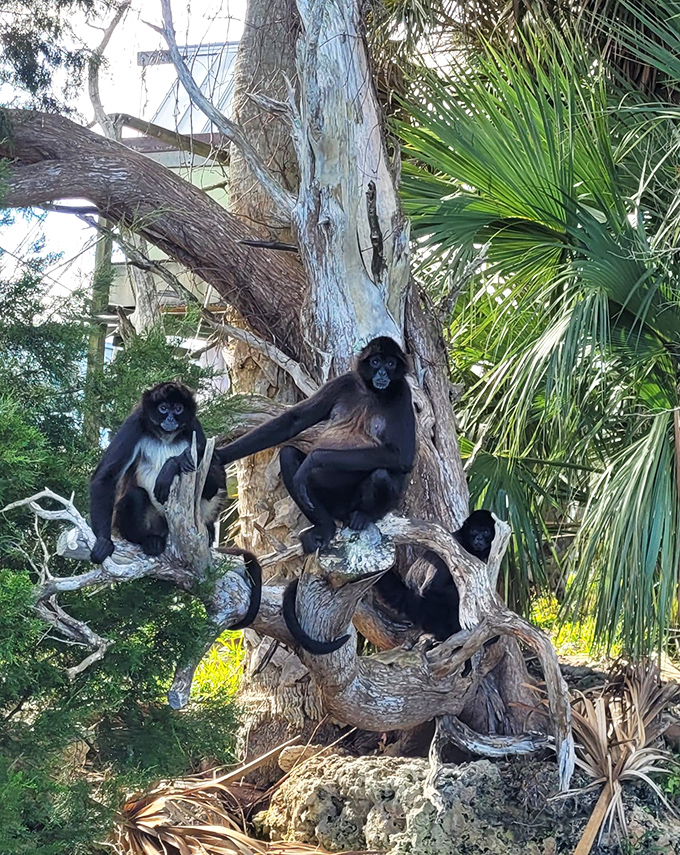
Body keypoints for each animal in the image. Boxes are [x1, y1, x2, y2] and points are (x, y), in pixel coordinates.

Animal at [216, 337, 416, 554]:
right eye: (376, 362)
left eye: (391, 364)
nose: (382, 373)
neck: (371, 391)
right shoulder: (344, 381)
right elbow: (293, 420)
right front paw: (220, 456)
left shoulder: (402, 391)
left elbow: (402, 457)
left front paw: (313, 460)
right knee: (288, 455)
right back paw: (325, 527)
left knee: (381, 473)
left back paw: (363, 516)